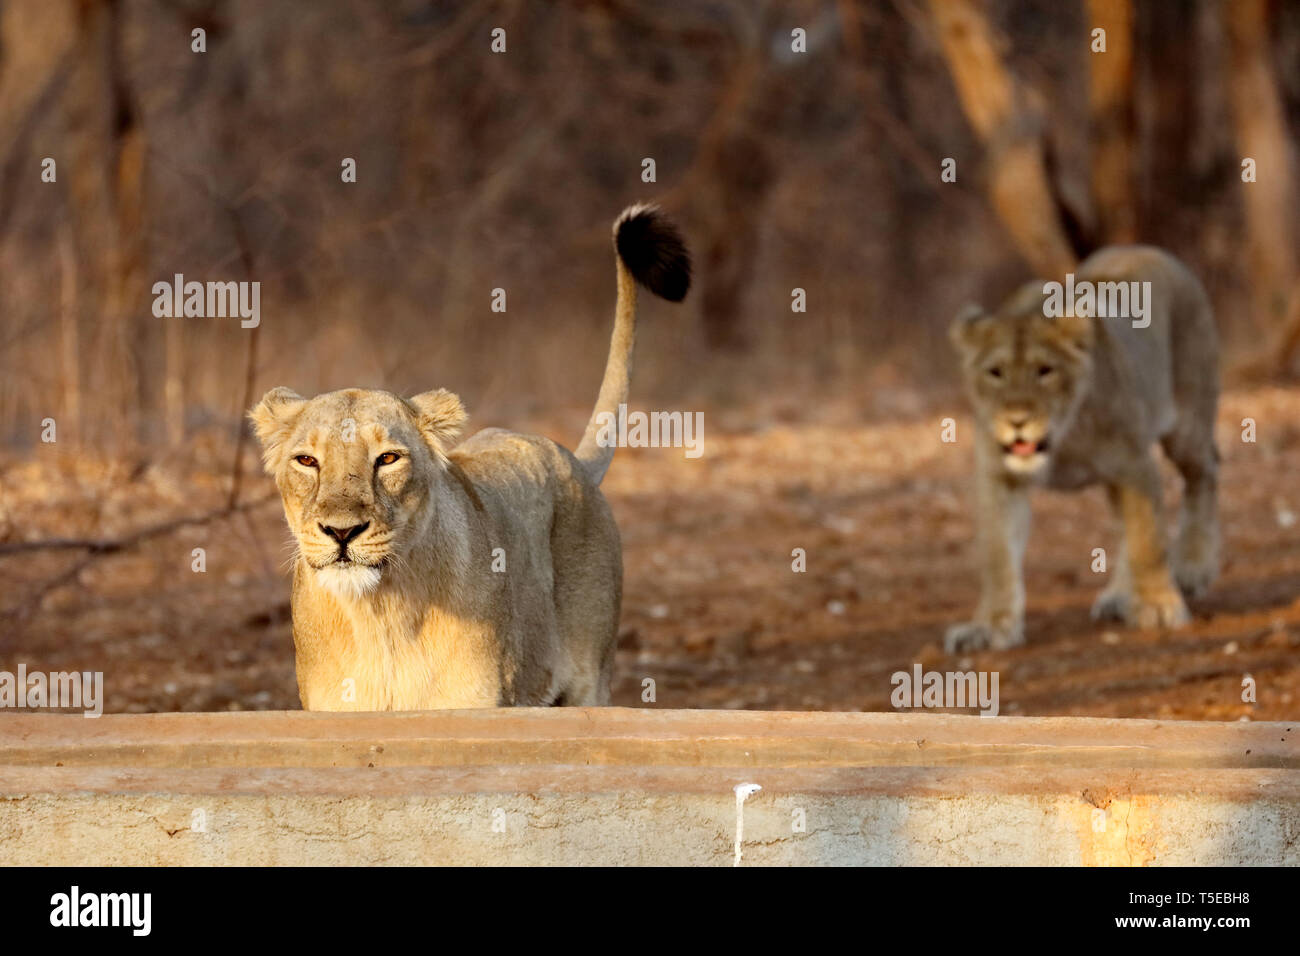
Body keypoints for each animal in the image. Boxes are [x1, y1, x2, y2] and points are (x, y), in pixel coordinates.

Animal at [249, 205, 690, 709]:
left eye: (388, 459)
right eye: (307, 461)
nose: (342, 532)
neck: (380, 615)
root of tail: (569, 458)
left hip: (590, 680)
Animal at [945, 245, 1220, 653]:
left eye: (1045, 371)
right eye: (995, 372)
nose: (1017, 420)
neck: (1061, 441)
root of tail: (1148, 250)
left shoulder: (1134, 465)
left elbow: (1147, 540)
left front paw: (1158, 604)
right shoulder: (999, 477)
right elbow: (997, 557)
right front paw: (990, 626)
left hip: (1187, 426)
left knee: (1206, 471)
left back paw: (1193, 566)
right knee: (1124, 526)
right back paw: (1120, 596)